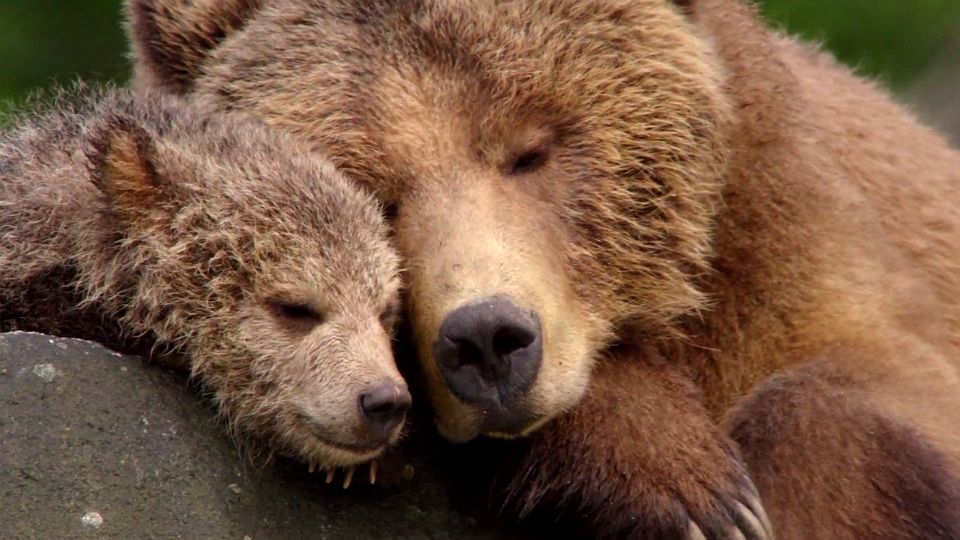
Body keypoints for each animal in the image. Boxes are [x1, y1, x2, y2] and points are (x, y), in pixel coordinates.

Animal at [128, 0, 960, 537]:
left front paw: (744, 507)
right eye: (374, 193)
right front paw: (685, 486)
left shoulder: (791, 236)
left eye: (530, 151)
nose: (487, 339)